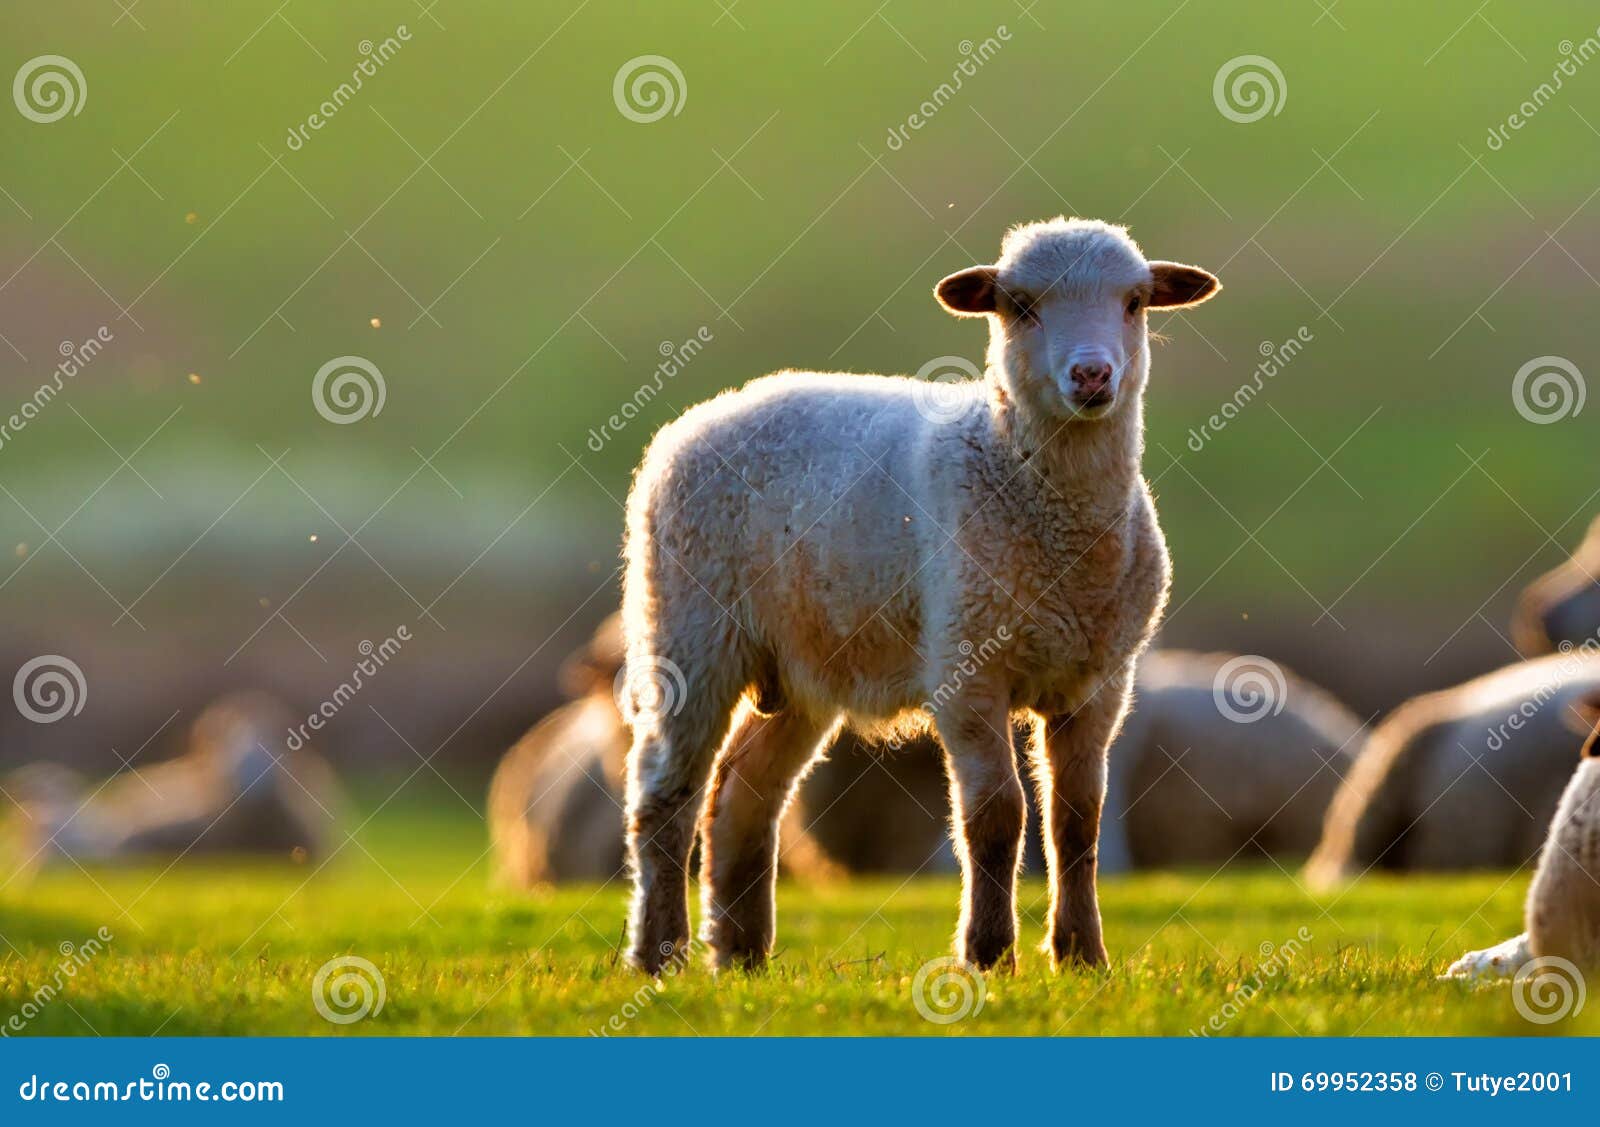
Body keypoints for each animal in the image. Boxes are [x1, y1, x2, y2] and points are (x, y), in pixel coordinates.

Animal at [620, 217, 1221, 973]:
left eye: (1135, 301)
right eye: (1020, 304)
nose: (1091, 374)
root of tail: (703, 416)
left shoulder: (1100, 681)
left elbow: (1077, 819)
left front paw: (1082, 955)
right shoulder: (967, 669)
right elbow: (996, 815)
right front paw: (988, 953)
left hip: (802, 663)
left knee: (743, 794)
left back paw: (742, 955)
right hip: (688, 631)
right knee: (664, 793)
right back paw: (658, 953)